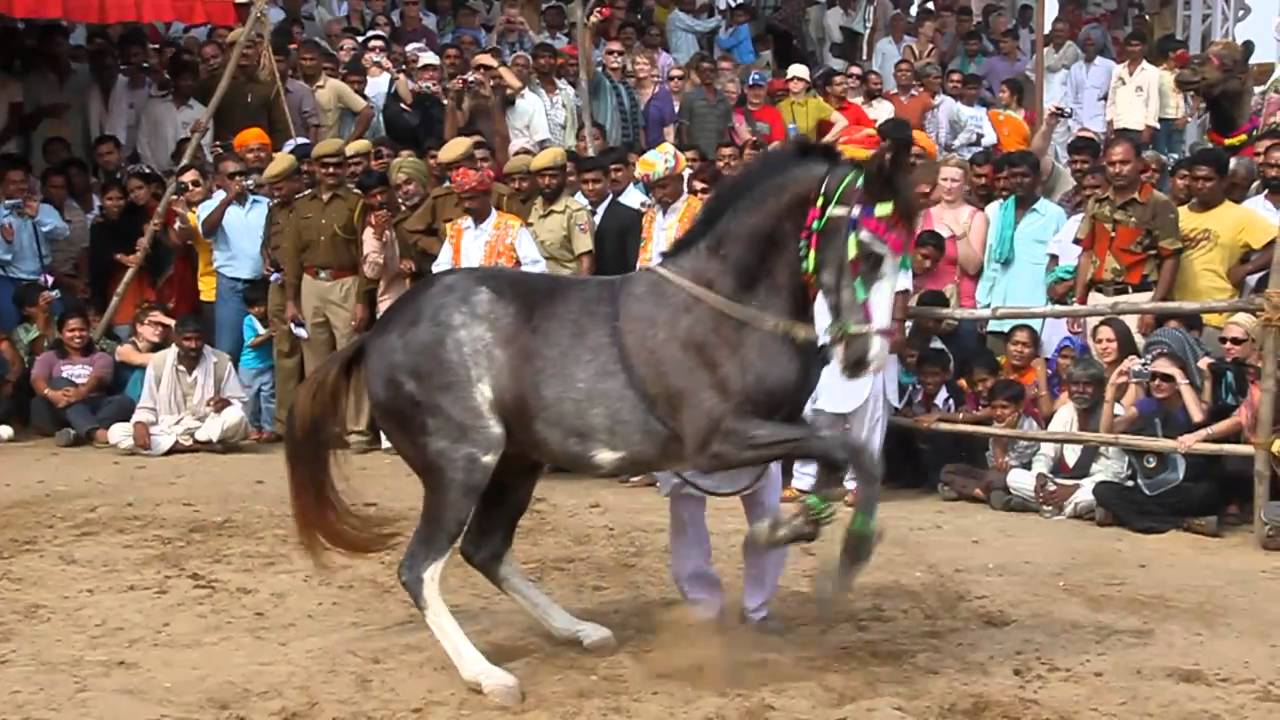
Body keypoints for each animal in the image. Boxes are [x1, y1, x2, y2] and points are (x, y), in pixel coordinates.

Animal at [285, 139, 919, 705]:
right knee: (420, 569)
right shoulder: (719, 441)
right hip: (463, 461)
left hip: (516, 462)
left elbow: (841, 456)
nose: (865, 357)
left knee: (484, 550)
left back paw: (580, 631)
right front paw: (838, 552)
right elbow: (854, 455)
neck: (722, 312)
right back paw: (489, 677)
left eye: (908, 253)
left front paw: (792, 526)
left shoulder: (776, 427)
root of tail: (376, 334)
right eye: (868, 253)